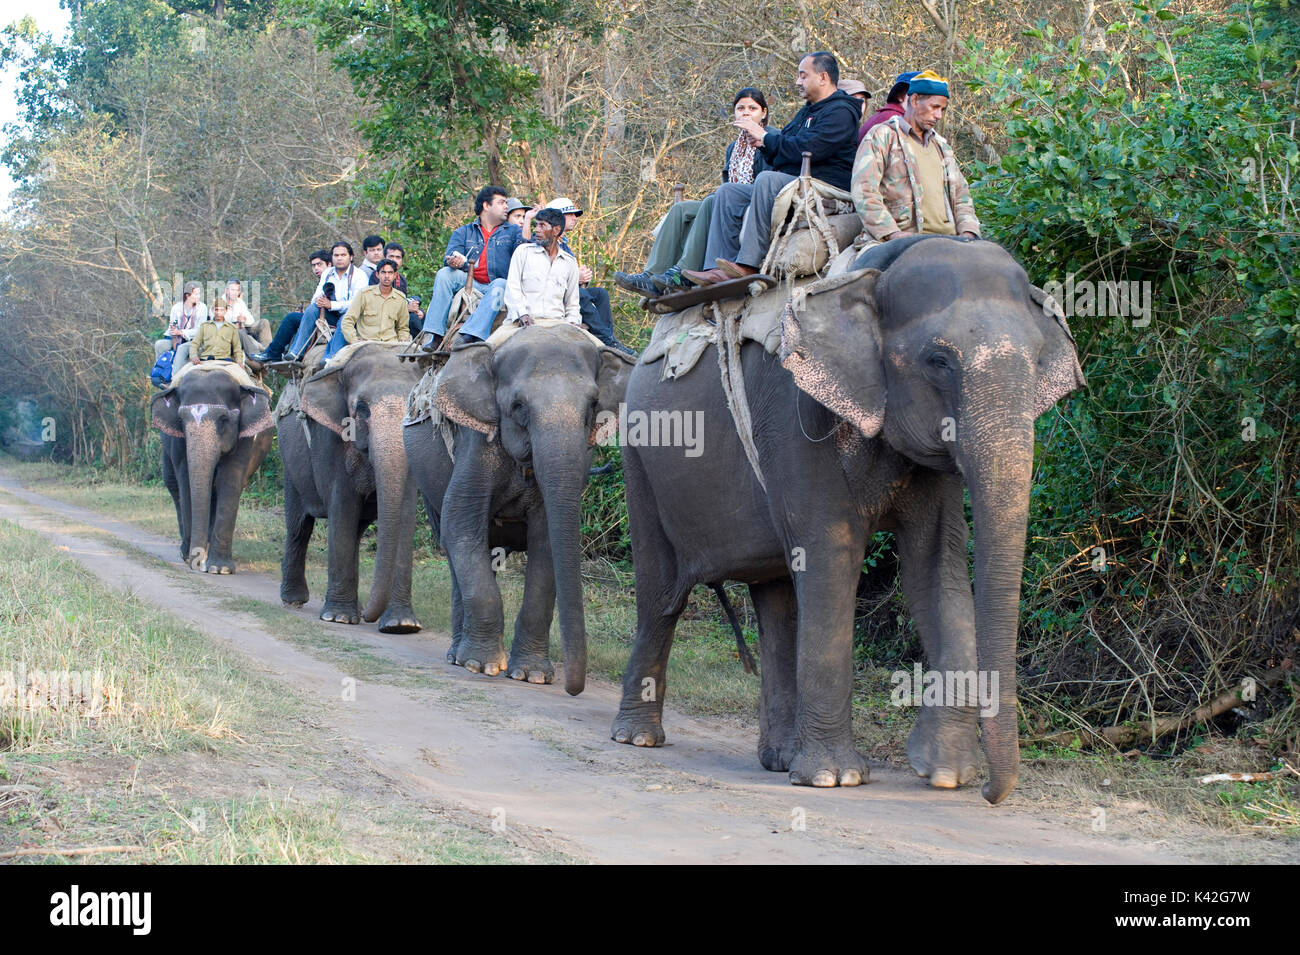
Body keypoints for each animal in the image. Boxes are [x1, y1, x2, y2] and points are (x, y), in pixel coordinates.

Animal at [151, 365, 275, 572]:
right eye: (180, 419)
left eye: (224, 418)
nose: (196, 561)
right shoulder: (177, 440)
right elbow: (186, 479)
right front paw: (191, 558)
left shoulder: (245, 435)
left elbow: (230, 479)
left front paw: (220, 568)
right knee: (174, 485)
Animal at [277, 342, 425, 633]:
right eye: (362, 409)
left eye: (412, 406)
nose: (369, 615)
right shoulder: (329, 435)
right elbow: (342, 504)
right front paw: (338, 618)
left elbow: (405, 514)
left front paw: (401, 625)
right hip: (289, 457)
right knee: (299, 526)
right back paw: (294, 600)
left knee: (355, 532)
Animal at [403, 323, 635, 696]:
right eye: (517, 405)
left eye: (593, 404)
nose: (574, 688)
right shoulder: (475, 443)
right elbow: (460, 524)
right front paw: (483, 666)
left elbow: (547, 543)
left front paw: (532, 675)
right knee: (451, 544)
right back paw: (457, 656)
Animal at [610, 235, 1086, 804]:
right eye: (938, 360)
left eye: (1038, 360)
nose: (993, 793)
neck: (871, 273)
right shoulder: (797, 419)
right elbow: (831, 558)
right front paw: (835, 778)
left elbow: (935, 571)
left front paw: (945, 773)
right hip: (641, 458)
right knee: (663, 595)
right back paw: (637, 738)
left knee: (776, 601)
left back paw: (779, 759)